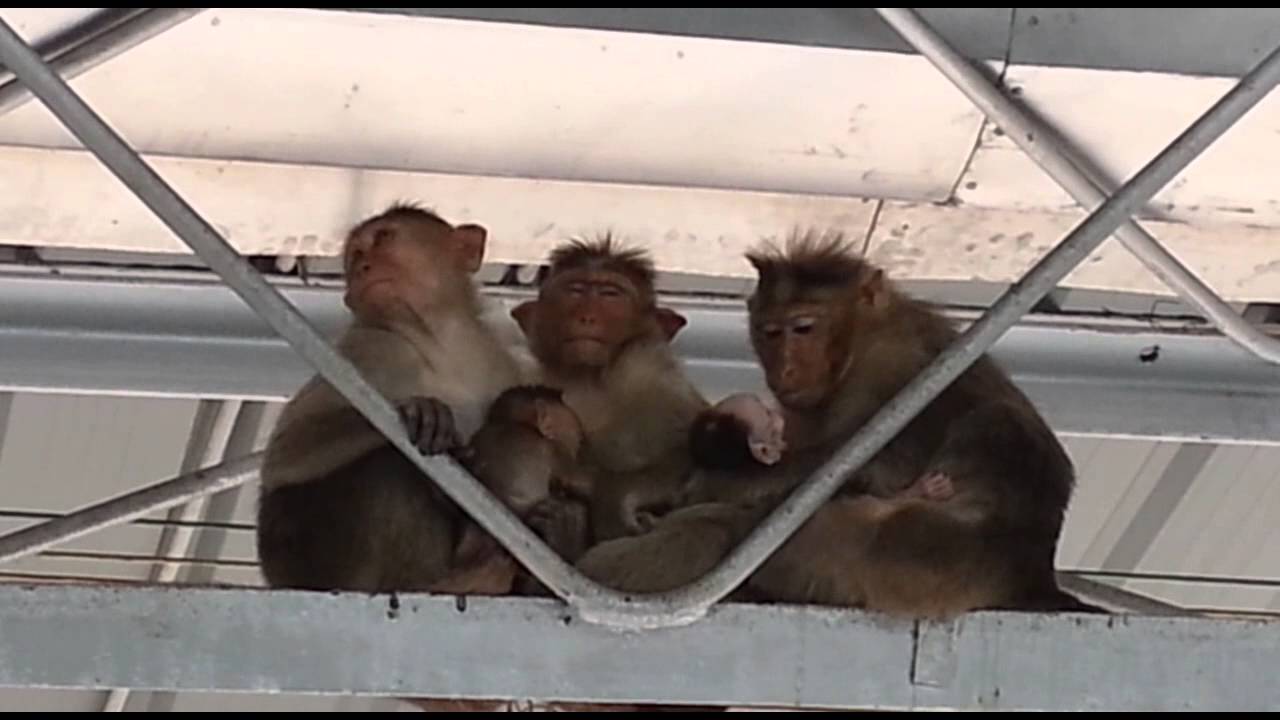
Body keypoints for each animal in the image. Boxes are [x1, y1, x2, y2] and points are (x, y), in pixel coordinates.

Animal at [255, 202, 529, 596]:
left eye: (383, 238)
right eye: (356, 255)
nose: (362, 267)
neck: (442, 342)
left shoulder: (505, 367)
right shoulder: (371, 348)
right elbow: (285, 454)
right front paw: (420, 411)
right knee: (388, 466)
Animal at [577, 230, 1098, 617]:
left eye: (804, 328)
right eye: (770, 332)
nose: (785, 369)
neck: (859, 340)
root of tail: (1032, 576)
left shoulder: (890, 365)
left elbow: (875, 467)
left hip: (908, 560)